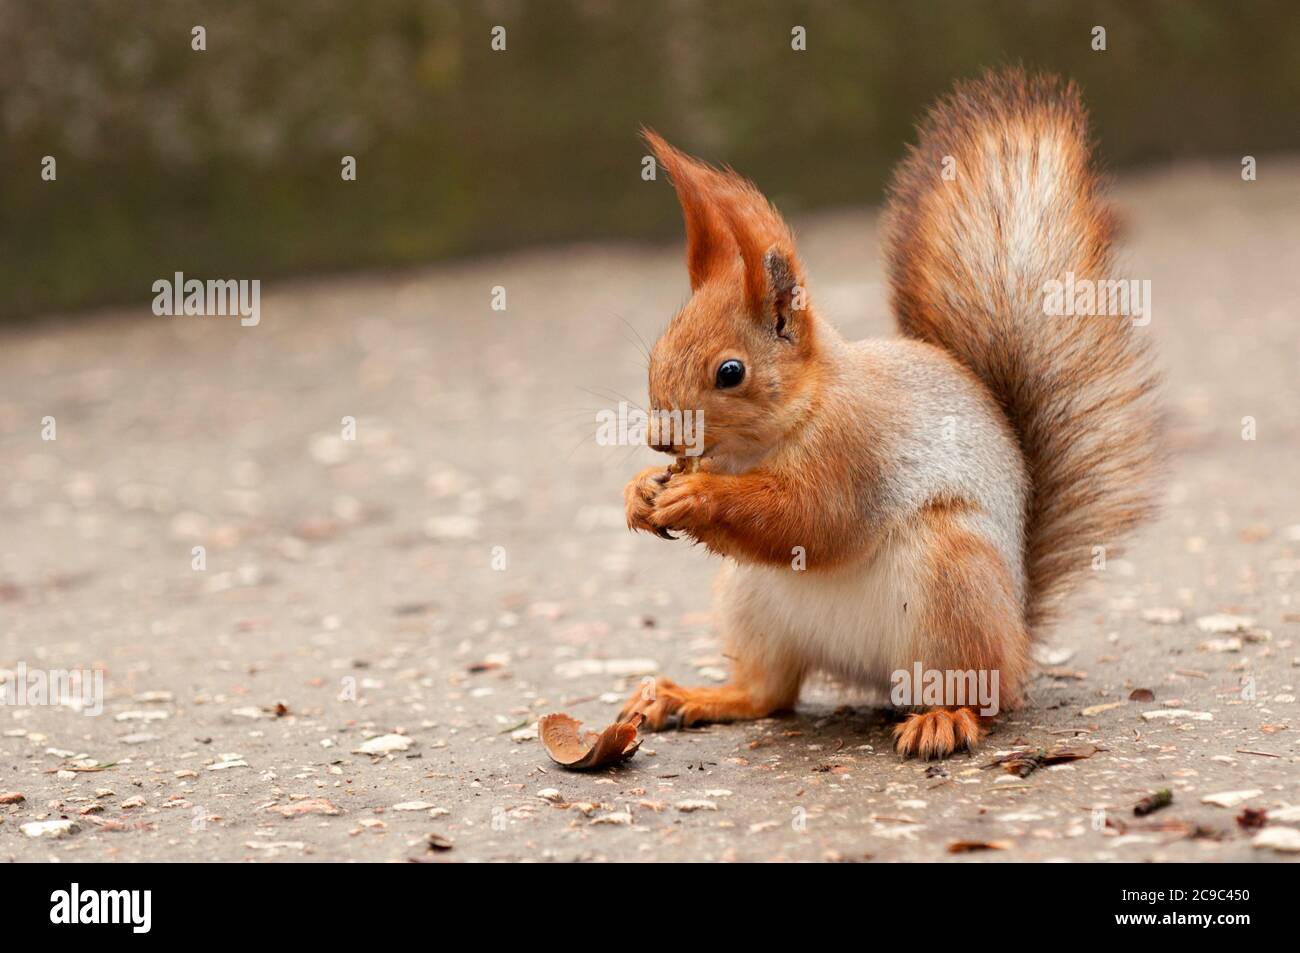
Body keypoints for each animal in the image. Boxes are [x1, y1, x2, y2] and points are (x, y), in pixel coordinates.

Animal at [621, 68, 1161, 759]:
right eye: (659, 350)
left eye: (730, 372)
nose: (662, 439)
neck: (770, 437)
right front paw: (640, 493)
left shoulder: (855, 450)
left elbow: (814, 519)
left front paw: (697, 496)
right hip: (750, 603)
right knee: (769, 693)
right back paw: (691, 696)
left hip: (953, 584)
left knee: (980, 694)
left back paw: (944, 719)